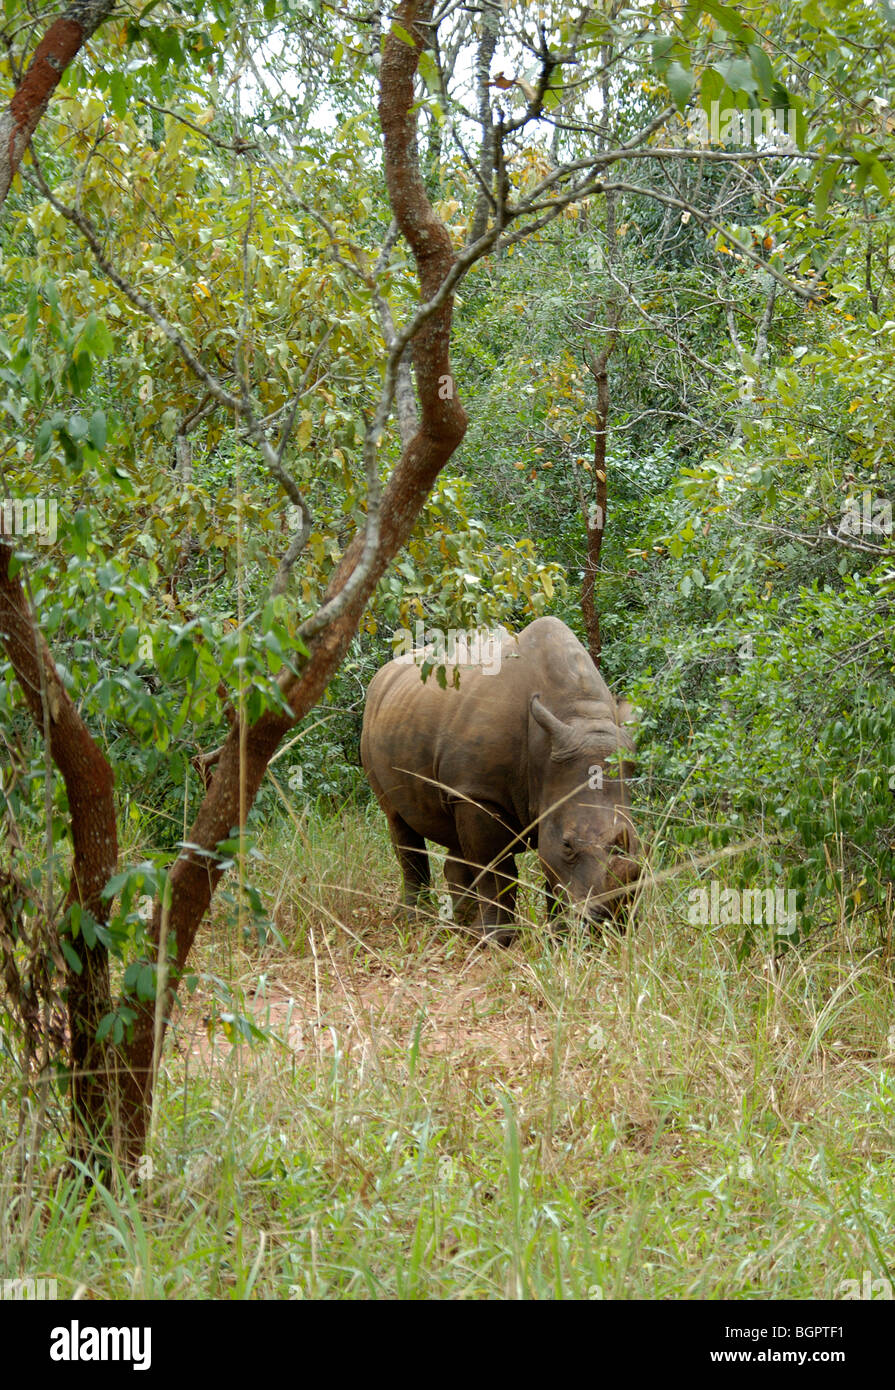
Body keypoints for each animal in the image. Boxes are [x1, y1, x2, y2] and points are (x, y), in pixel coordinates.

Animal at [360, 616, 641, 944]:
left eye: (638, 843)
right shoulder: (481, 793)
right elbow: (496, 870)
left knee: (455, 834)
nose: (608, 924)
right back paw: (415, 919)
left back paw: (460, 925)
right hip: (373, 723)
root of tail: (384, 673)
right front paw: (495, 940)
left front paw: (556, 937)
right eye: (568, 844)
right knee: (399, 823)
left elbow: (550, 873)